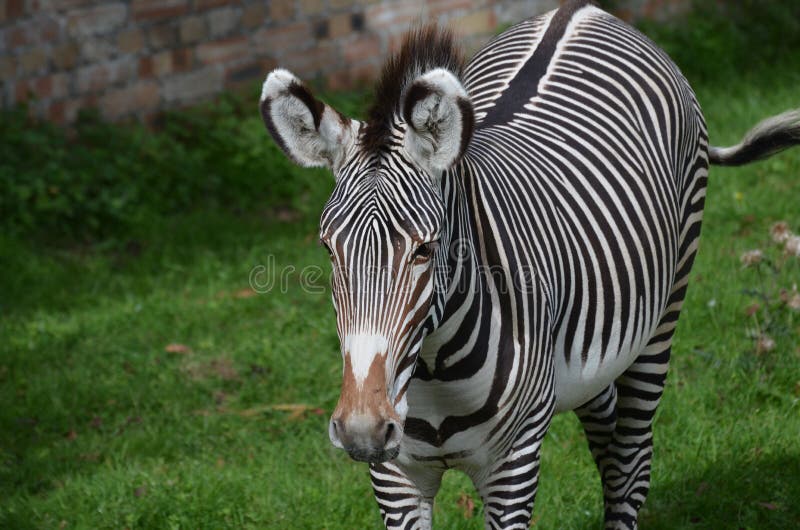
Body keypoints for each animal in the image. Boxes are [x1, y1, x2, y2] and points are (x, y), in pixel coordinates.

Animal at [259, 1, 800, 528]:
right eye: (328, 249)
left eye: (424, 250)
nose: (361, 432)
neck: (434, 374)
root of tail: (582, 11)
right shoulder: (395, 477)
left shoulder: (513, 466)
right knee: (608, 442)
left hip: (664, 312)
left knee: (632, 458)